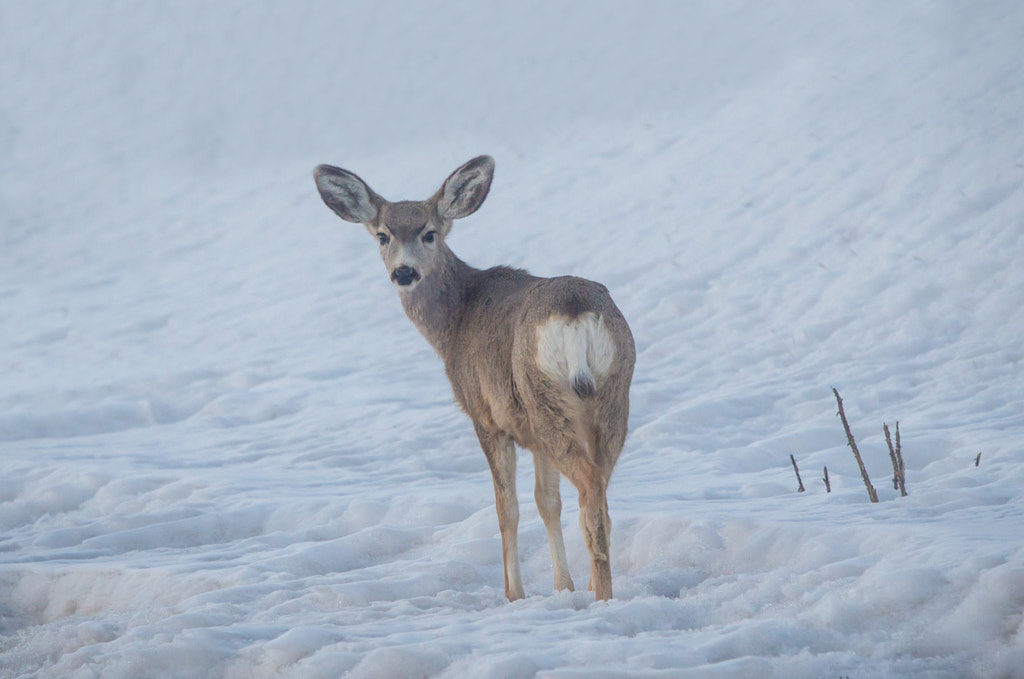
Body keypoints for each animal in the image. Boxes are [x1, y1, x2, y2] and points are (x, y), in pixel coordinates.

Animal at [313, 156, 635, 601]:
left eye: (429, 233)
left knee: (588, 484)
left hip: (544, 397)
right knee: (601, 486)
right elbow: (546, 501)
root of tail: (575, 312)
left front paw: (514, 594)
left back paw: (602, 596)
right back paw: (594, 587)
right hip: (610, 395)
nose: (404, 272)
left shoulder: (486, 415)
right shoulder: (529, 433)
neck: (454, 321)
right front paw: (563, 588)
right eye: (383, 236)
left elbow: (506, 509)